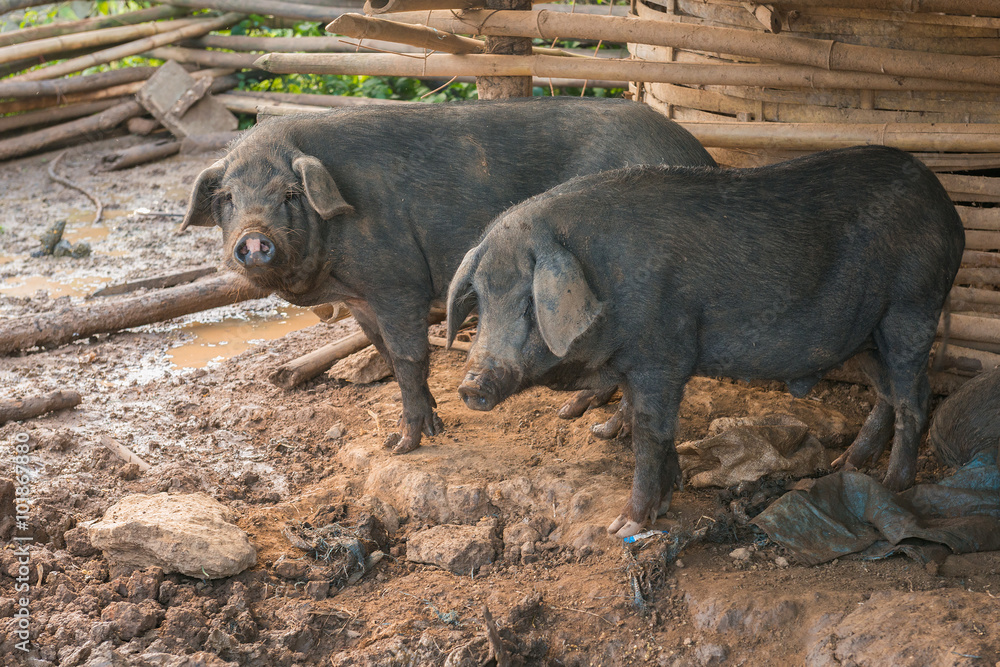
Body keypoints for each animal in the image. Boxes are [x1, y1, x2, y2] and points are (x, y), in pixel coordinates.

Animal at [180, 97, 716, 454]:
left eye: (290, 194)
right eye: (228, 198)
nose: (252, 238)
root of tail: (700, 153)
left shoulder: (397, 284)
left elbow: (409, 356)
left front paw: (401, 445)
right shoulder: (360, 300)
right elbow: (384, 354)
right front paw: (428, 427)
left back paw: (604, 433)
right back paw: (577, 414)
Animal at [447, 145, 965, 538]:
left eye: (529, 304)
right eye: (482, 300)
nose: (471, 386)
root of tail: (947, 207)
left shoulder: (661, 356)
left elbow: (650, 437)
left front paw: (623, 526)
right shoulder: (638, 365)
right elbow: (654, 429)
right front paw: (665, 499)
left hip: (912, 306)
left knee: (914, 397)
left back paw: (894, 488)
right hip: (866, 334)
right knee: (886, 394)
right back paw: (845, 465)